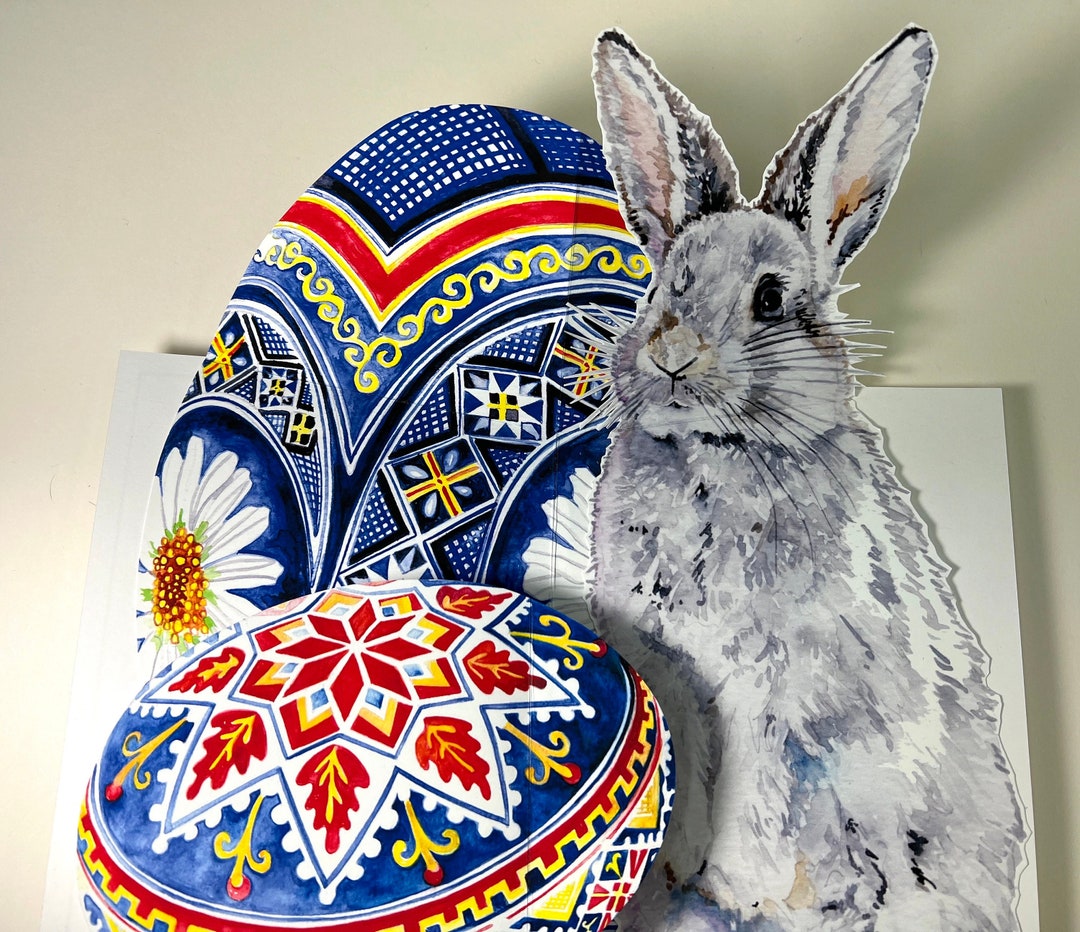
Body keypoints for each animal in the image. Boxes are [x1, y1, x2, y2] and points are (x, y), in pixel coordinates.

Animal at [582, 26, 1028, 931]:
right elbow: (690, 784)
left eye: (770, 298)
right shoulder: (677, 680)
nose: (672, 355)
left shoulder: (778, 693)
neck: (716, 450)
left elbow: (757, 792)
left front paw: (740, 884)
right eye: (665, 286)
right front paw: (673, 871)